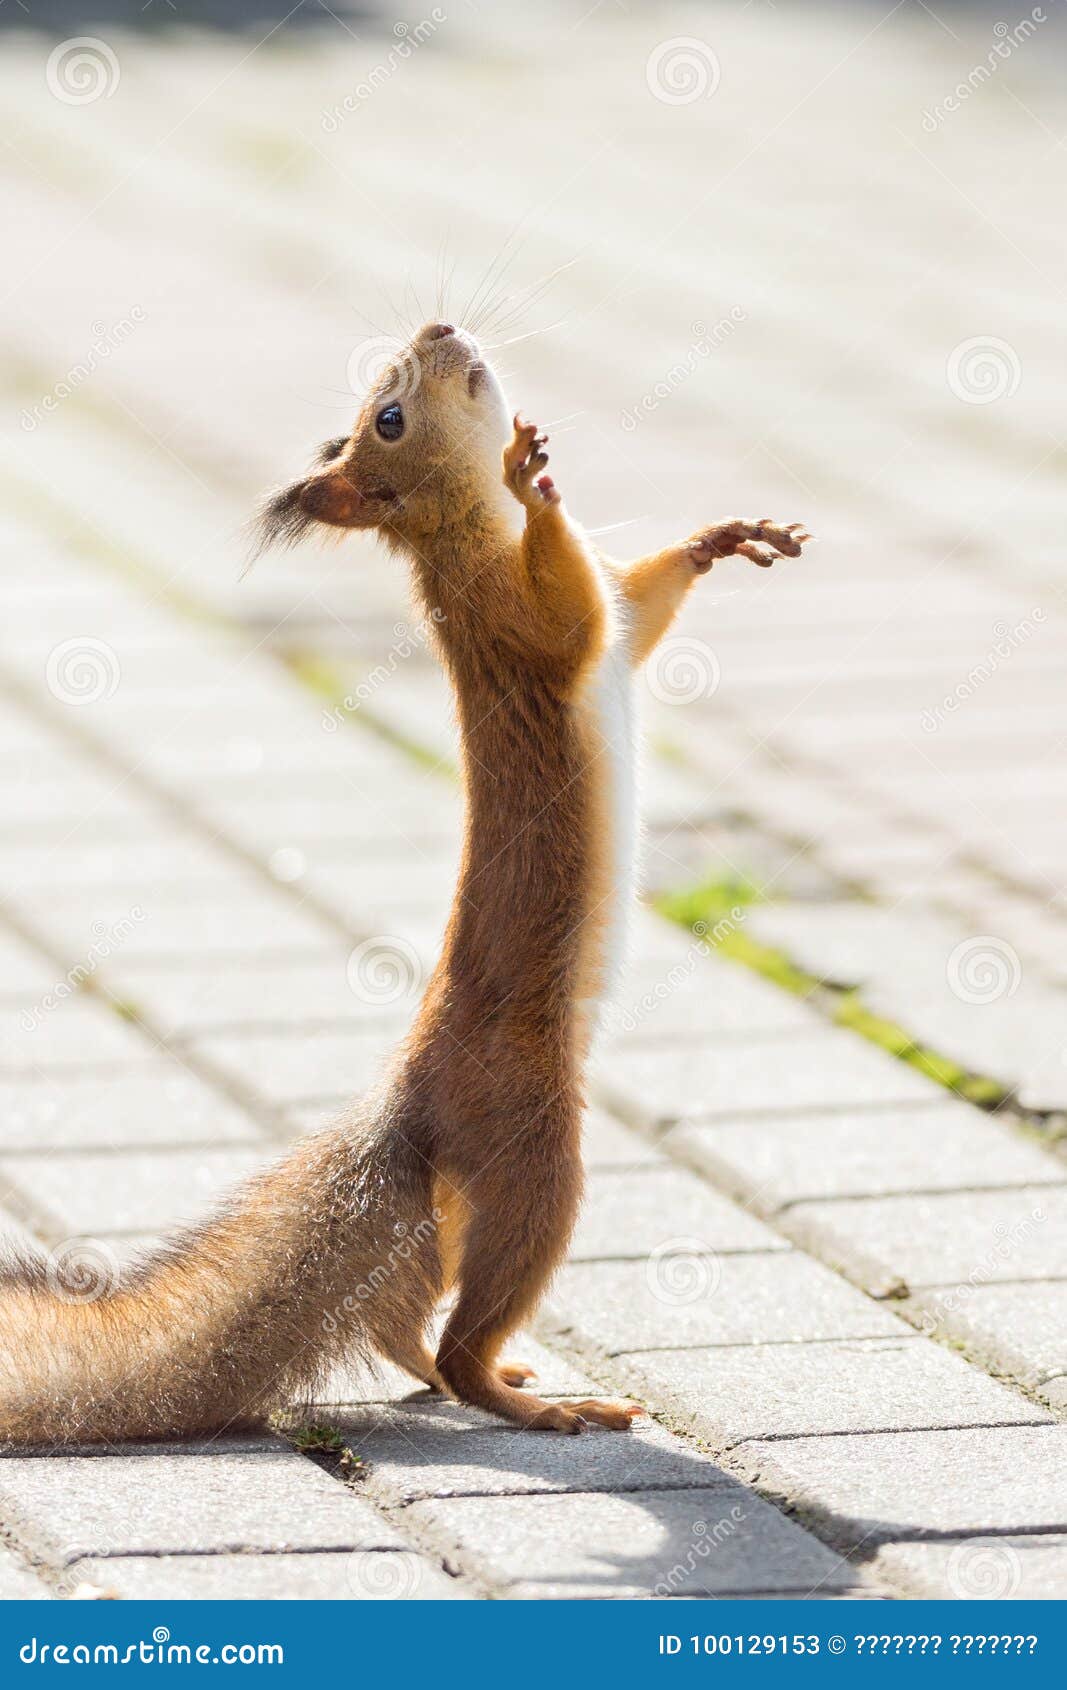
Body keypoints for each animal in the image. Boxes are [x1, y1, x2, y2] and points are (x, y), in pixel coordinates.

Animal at [0, 321, 809, 1443]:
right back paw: (539, 1402)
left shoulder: (610, 610)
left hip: (449, 1207)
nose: (437, 332)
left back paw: (463, 1369)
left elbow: (634, 610)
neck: (461, 536)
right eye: (387, 419)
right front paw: (529, 476)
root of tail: (411, 1106)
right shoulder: (514, 623)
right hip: (531, 1161)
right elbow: (569, 613)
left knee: (397, 1319)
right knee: (470, 1327)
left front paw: (721, 537)